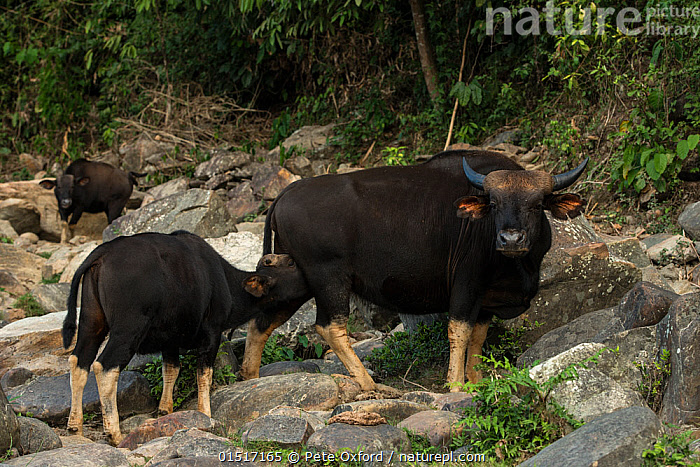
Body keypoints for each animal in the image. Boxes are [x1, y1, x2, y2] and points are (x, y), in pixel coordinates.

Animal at [62, 231, 309, 445]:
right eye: (291, 263)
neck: (224, 280)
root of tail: (102, 253)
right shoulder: (212, 333)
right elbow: (204, 373)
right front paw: (205, 413)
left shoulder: (169, 340)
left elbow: (171, 370)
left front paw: (165, 410)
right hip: (128, 329)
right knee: (104, 366)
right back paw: (114, 433)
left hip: (91, 323)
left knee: (78, 362)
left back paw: (75, 426)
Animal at [240, 149, 587, 392]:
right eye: (494, 203)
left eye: (537, 204)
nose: (511, 238)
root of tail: (283, 195)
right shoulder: (466, 284)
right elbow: (459, 331)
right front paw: (456, 385)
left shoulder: (487, 299)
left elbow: (478, 338)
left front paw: (475, 381)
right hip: (328, 279)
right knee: (330, 327)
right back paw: (369, 384)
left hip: (294, 280)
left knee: (261, 323)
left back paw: (250, 379)